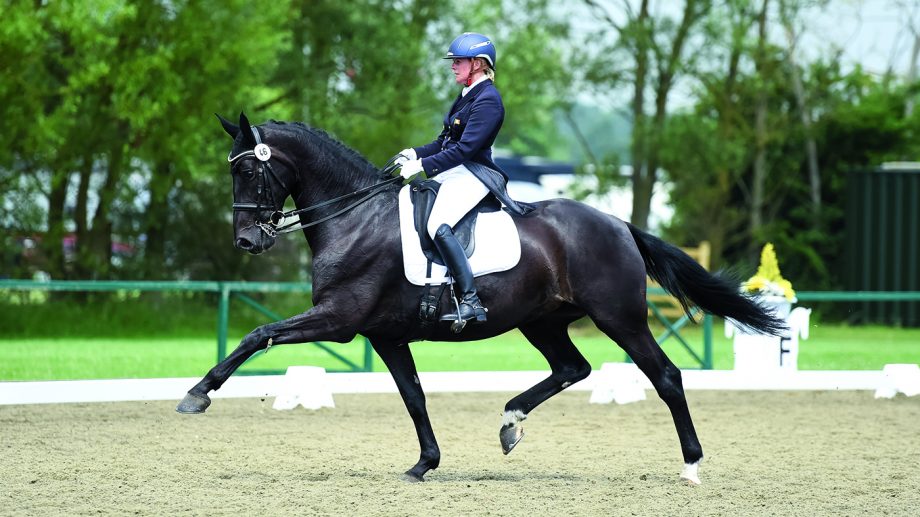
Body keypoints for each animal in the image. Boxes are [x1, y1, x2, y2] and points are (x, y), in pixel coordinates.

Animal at [176, 112, 785, 485]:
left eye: (250, 169)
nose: (248, 242)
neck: (355, 217)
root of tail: (616, 223)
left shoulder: (338, 319)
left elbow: (258, 334)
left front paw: (197, 394)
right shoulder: (384, 334)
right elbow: (414, 397)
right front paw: (424, 464)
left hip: (621, 317)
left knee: (665, 377)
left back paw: (691, 467)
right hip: (543, 321)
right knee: (573, 368)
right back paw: (511, 421)